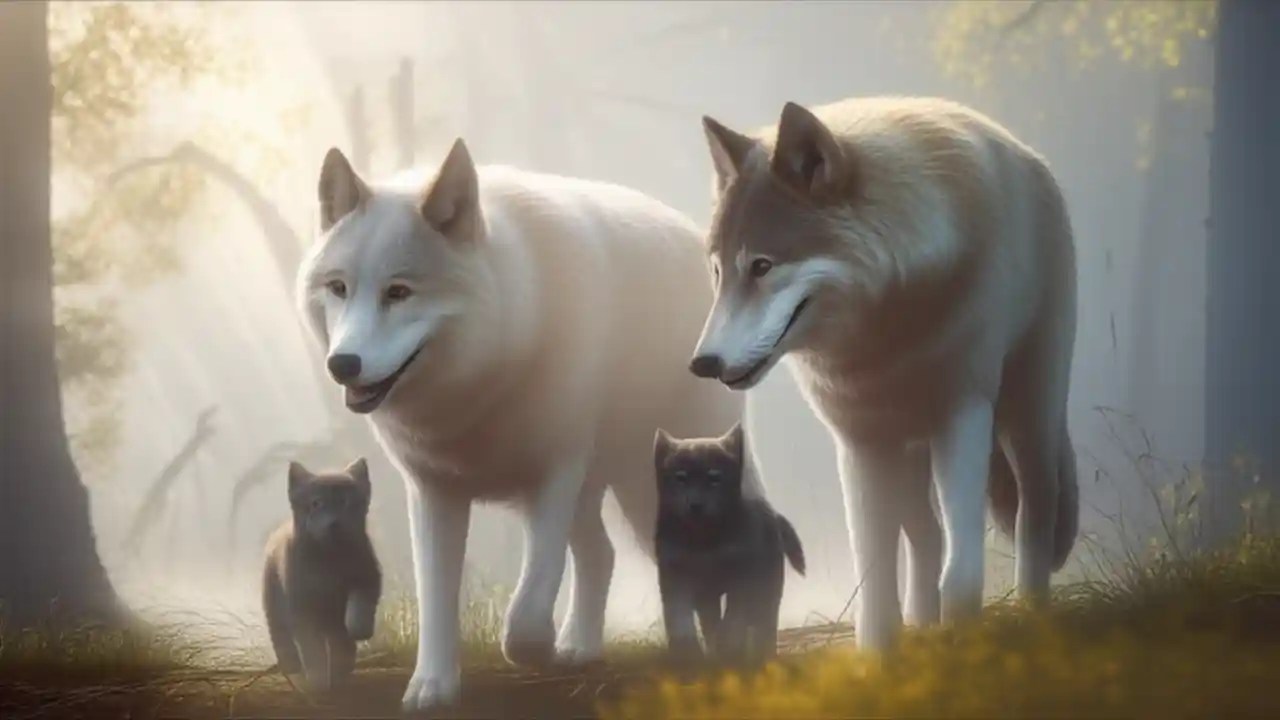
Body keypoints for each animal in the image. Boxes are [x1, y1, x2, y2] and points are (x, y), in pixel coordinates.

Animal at [262, 458, 382, 692]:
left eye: (344, 501)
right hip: (273, 605)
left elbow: (359, 610)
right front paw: (317, 681)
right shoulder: (302, 608)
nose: (333, 524)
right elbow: (312, 649)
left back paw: (340, 672)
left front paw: (359, 631)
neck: (329, 559)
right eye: (316, 503)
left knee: (339, 643)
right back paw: (293, 667)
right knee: (281, 639)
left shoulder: (368, 577)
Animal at [296, 140, 758, 710]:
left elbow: (526, 617)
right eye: (338, 287)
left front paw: (537, 653)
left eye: (398, 292)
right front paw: (432, 687)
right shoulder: (433, 492)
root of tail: (693, 236)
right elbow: (437, 599)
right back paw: (582, 647)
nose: (343, 364)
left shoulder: (554, 476)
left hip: (647, 483)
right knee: (601, 554)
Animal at [653, 423, 805, 667]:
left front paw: (729, 647)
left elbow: (732, 621)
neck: (703, 541)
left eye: (714, 478)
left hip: (767, 592)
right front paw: (689, 653)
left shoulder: (740, 579)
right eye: (681, 478)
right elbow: (680, 621)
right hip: (709, 598)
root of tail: (772, 513)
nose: (695, 505)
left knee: (765, 627)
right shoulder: (676, 580)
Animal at [688, 97, 1079, 652]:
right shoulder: (860, 442)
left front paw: (963, 642)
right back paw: (922, 626)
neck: (885, 337)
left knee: (1035, 512)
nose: (703, 363)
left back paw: (1031, 612)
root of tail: (1031, 158)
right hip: (908, 452)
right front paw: (882, 654)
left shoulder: (963, 416)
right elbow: (874, 578)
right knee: (926, 535)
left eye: (762, 266)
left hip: (1028, 416)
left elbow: (962, 572)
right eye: (718, 270)